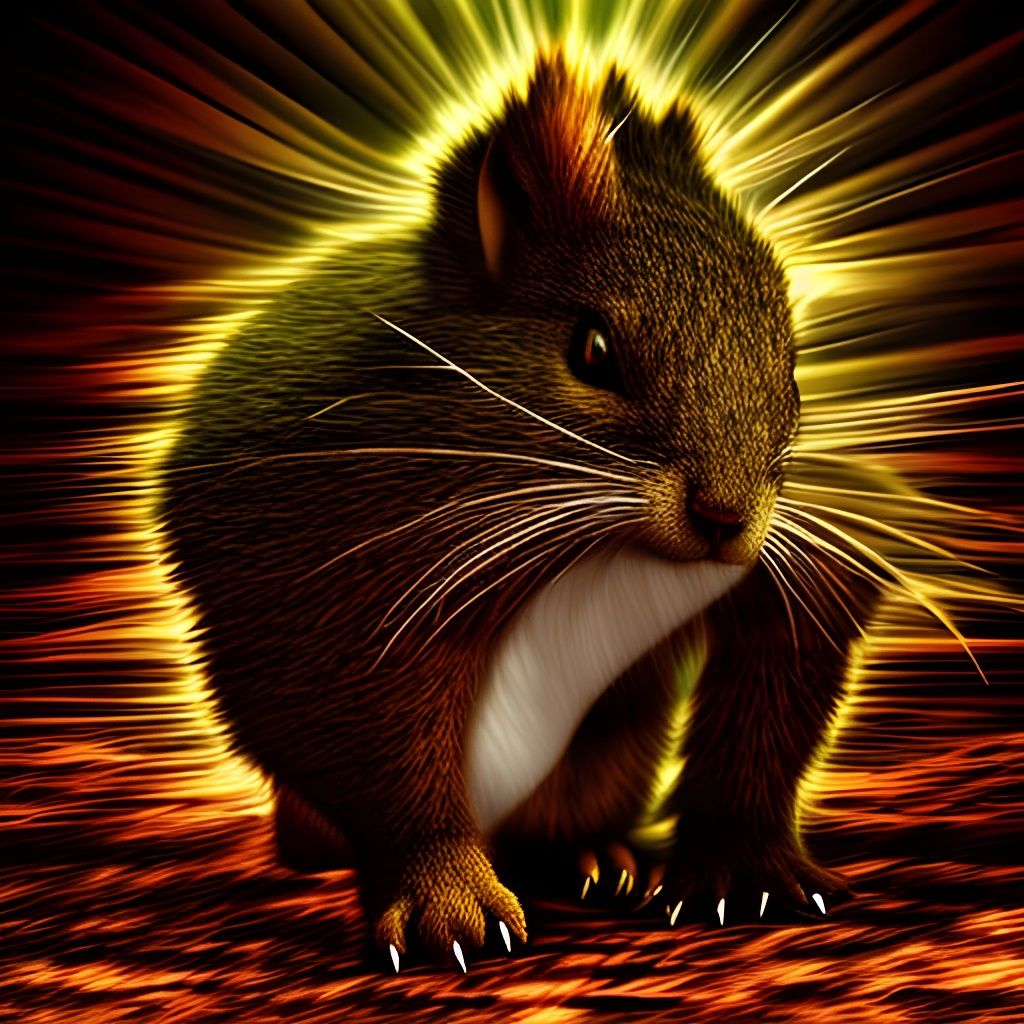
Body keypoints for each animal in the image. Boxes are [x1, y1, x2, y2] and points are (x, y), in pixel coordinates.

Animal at [162, 53, 877, 971]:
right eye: (593, 351)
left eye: (789, 361)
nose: (726, 519)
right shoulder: (323, 565)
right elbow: (377, 744)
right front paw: (445, 897)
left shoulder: (779, 573)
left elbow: (776, 675)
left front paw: (743, 864)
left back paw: (590, 855)